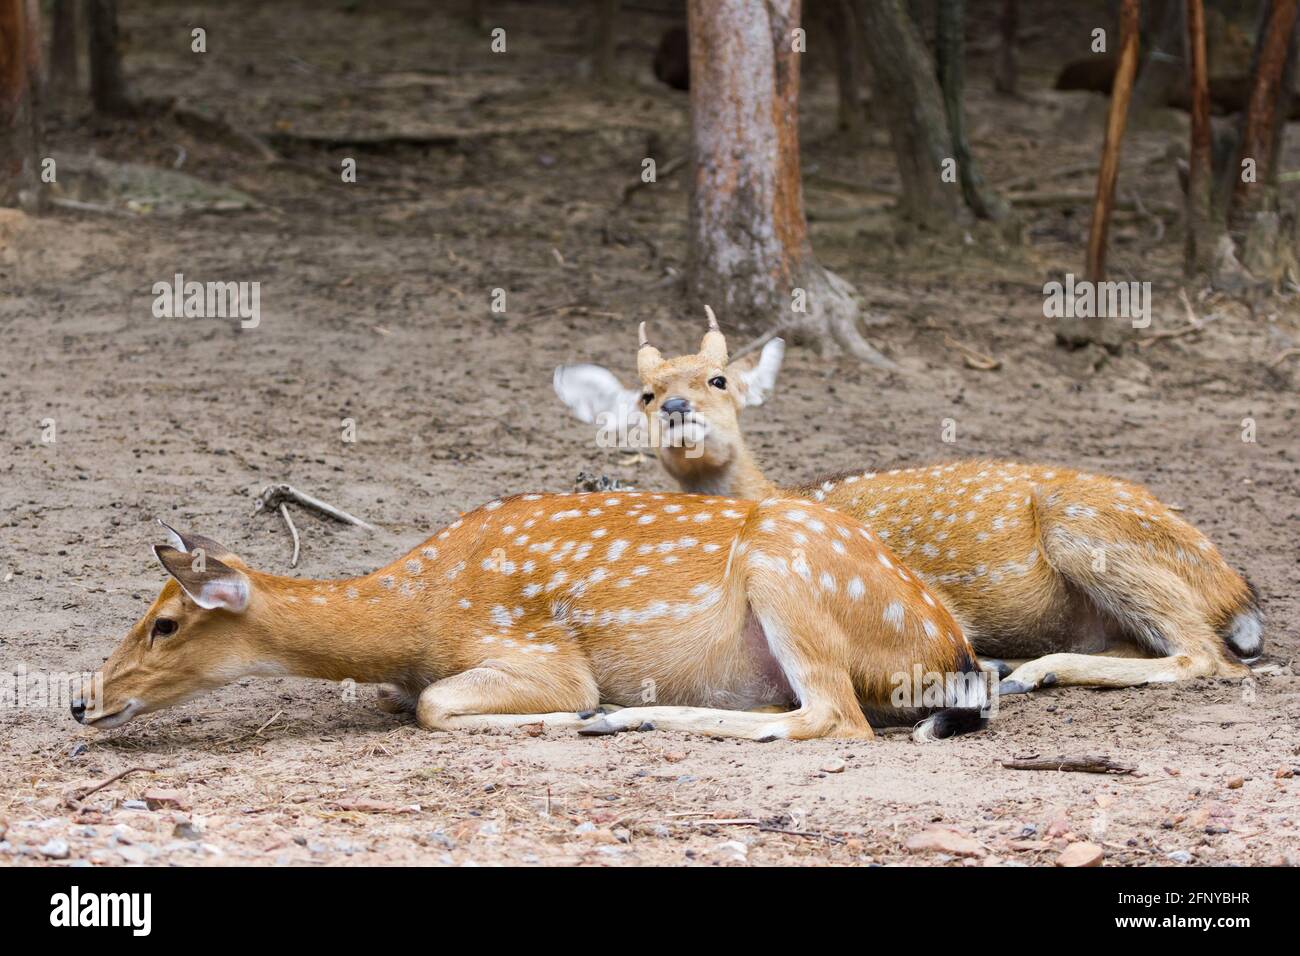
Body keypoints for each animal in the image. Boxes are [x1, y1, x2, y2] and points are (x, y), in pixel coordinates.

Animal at [70, 496, 991, 743]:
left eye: (164, 623)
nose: (81, 700)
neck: (419, 617)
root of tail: (948, 648)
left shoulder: (536, 650)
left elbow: (436, 705)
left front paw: (577, 713)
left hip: (789, 576)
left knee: (834, 717)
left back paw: (617, 717)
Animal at [552, 311, 1262, 696]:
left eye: (719, 379)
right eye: (645, 393)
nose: (677, 407)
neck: (779, 494)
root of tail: (1235, 590)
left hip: (1085, 530)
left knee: (1206, 654)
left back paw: (1033, 670)